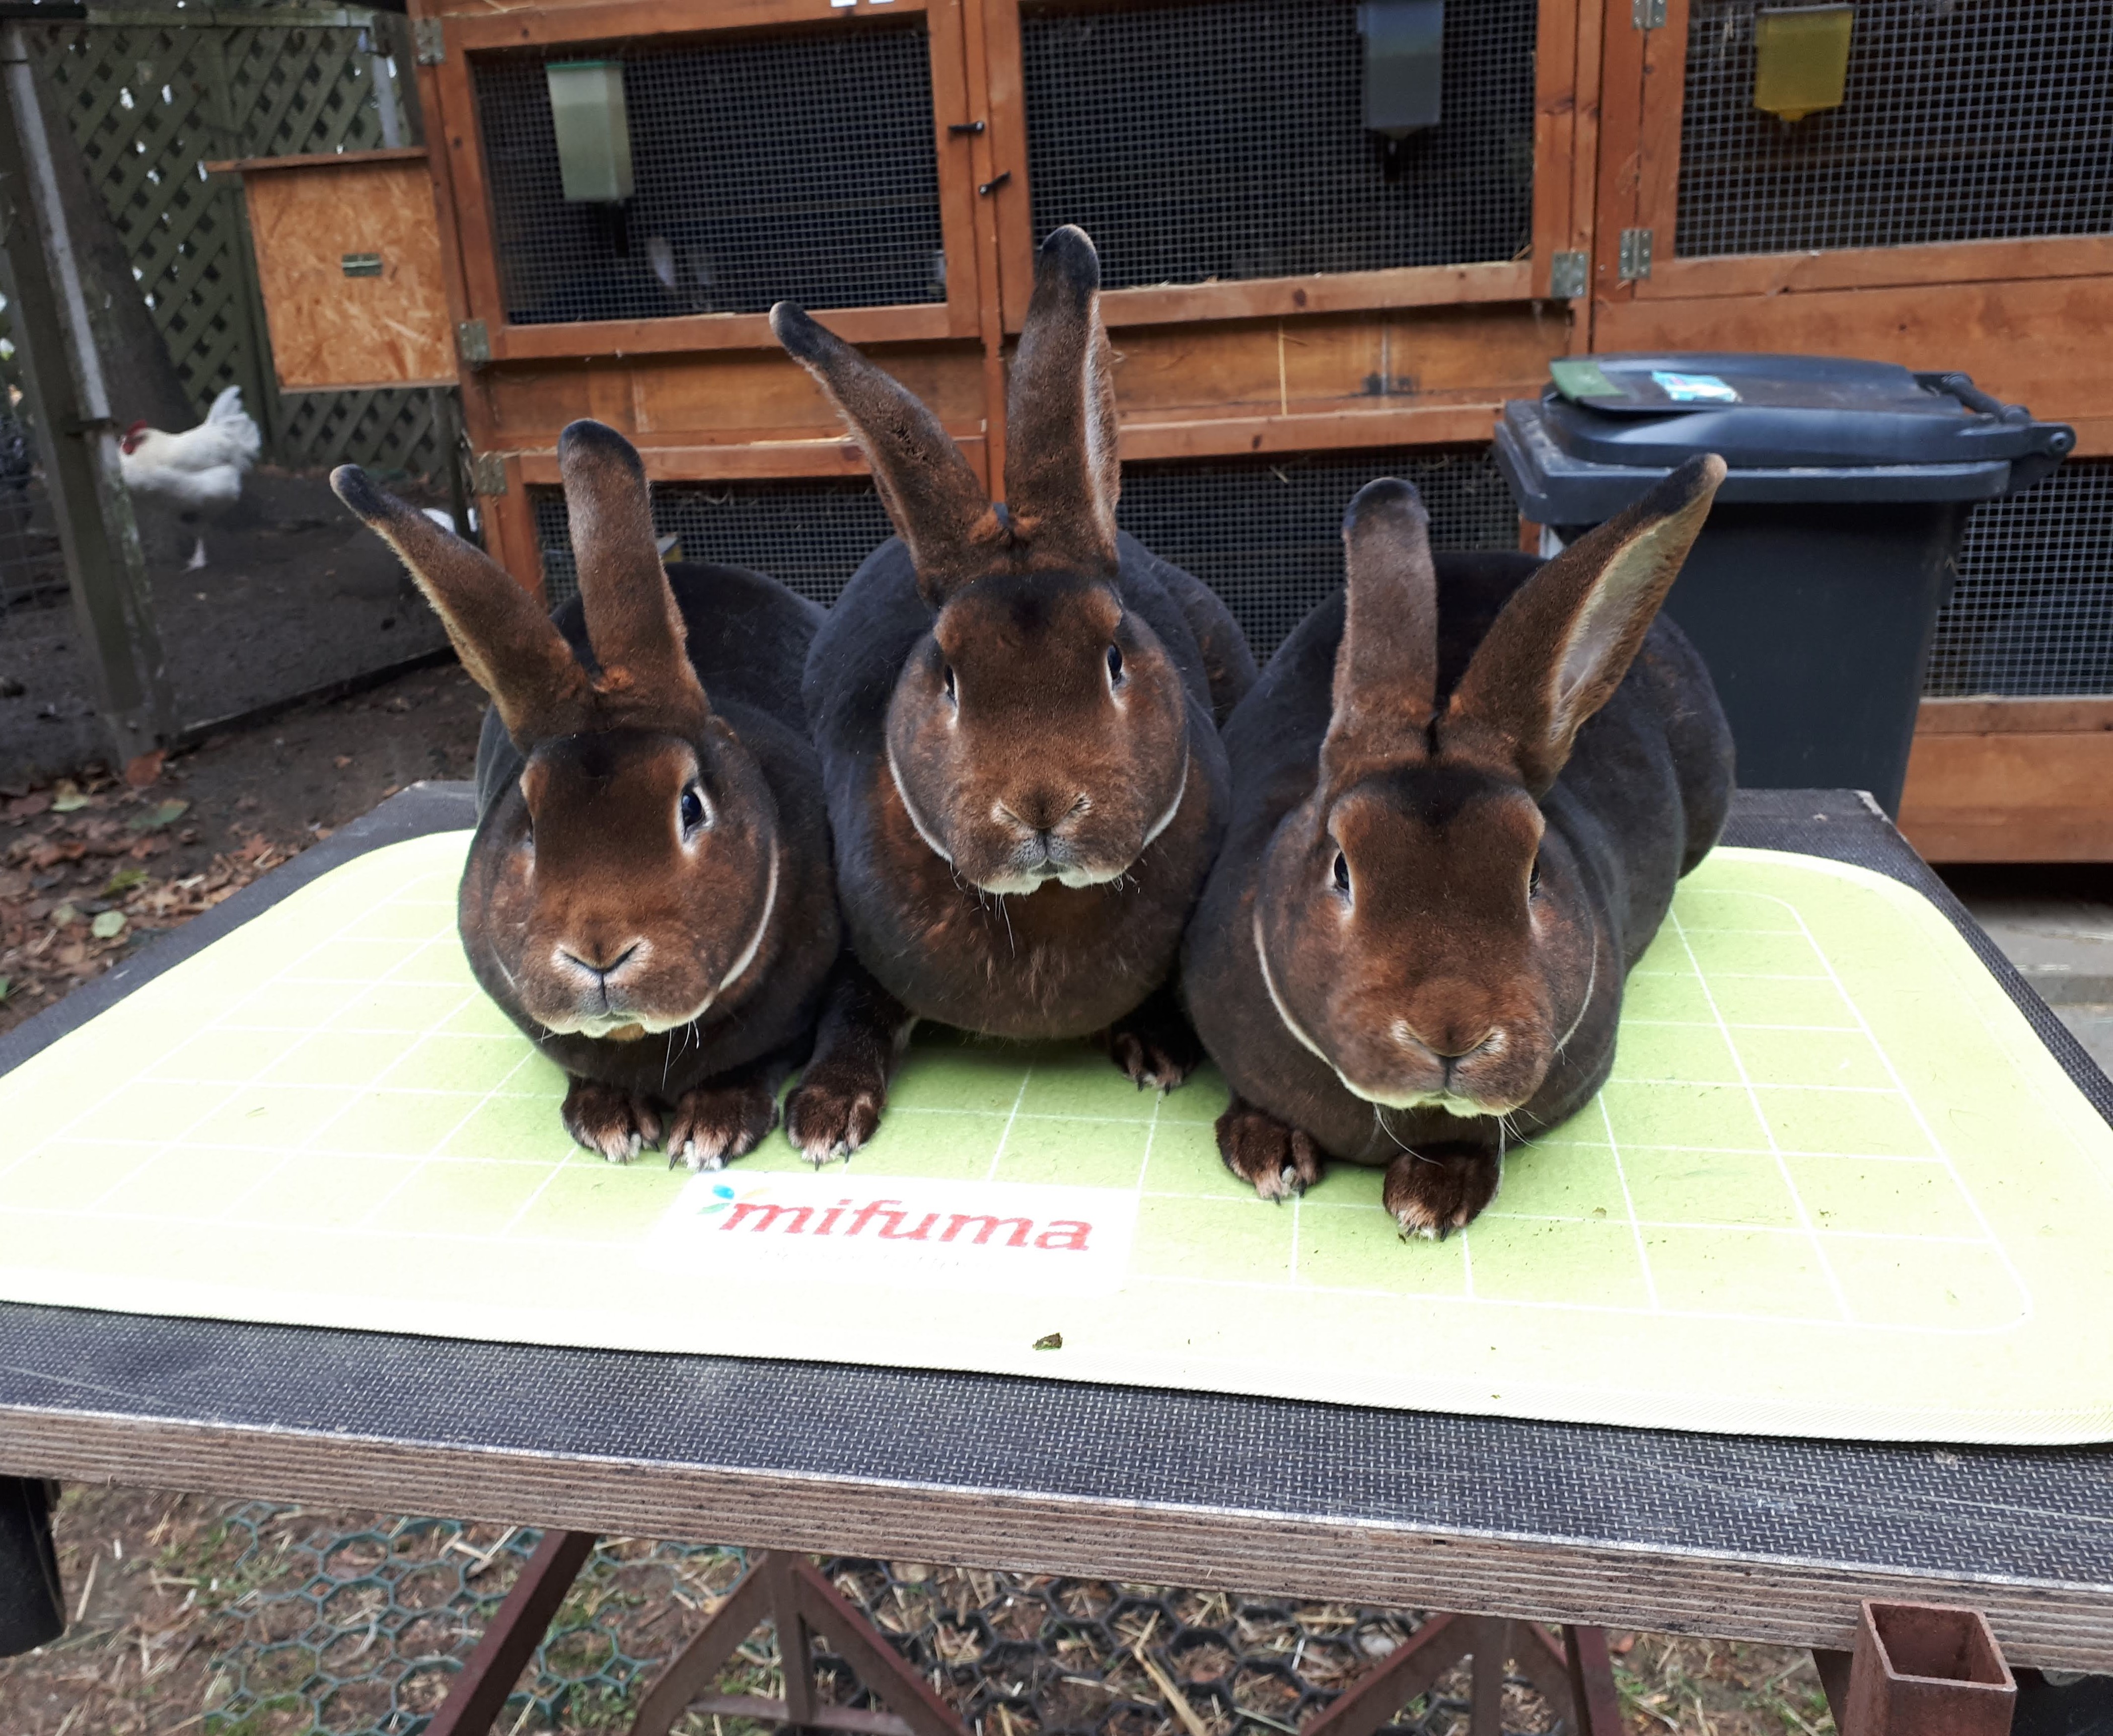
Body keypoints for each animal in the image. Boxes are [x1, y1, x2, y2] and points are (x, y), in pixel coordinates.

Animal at [330, 418, 881, 1171]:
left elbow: (754, 1061)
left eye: (690, 806)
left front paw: (712, 1126)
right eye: (530, 824)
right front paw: (608, 1119)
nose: (599, 953)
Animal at [770, 224, 1258, 1130]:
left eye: (1114, 656)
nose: (1042, 805)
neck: (1047, 901)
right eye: (949, 678)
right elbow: (853, 1007)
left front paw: (1161, 1051)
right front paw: (824, 1112)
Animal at [1181, 454, 1734, 1238]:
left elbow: (1478, 1137)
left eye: (1534, 874)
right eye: (1343, 868)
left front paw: (1430, 1199)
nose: (1452, 1033)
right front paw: (1267, 1153)